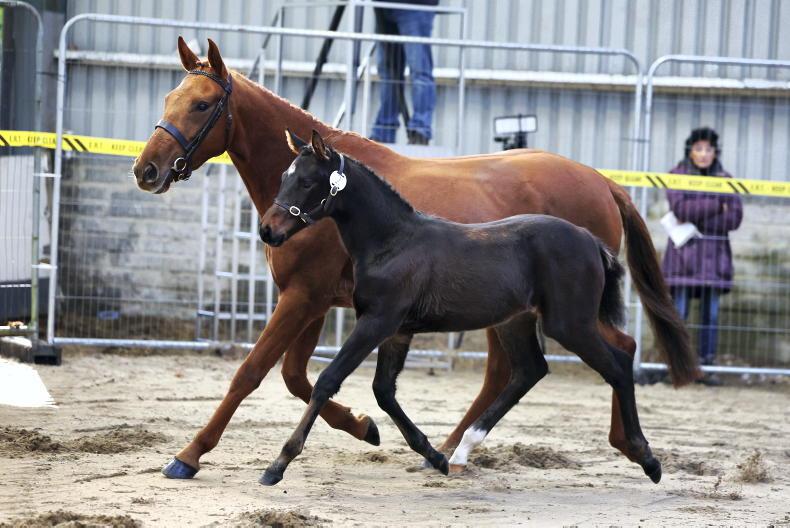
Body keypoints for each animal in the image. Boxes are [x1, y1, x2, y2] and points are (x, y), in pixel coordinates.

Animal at [255, 129, 662, 486]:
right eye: (284, 176)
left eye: (307, 182)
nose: (267, 231)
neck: (393, 242)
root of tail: (590, 241)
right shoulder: (398, 331)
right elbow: (384, 391)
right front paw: (433, 456)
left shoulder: (377, 321)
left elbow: (329, 380)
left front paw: (277, 465)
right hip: (516, 322)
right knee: (530, 370)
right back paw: (462, 451)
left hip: (570, 324)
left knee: (618, 365)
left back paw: (648, 459)